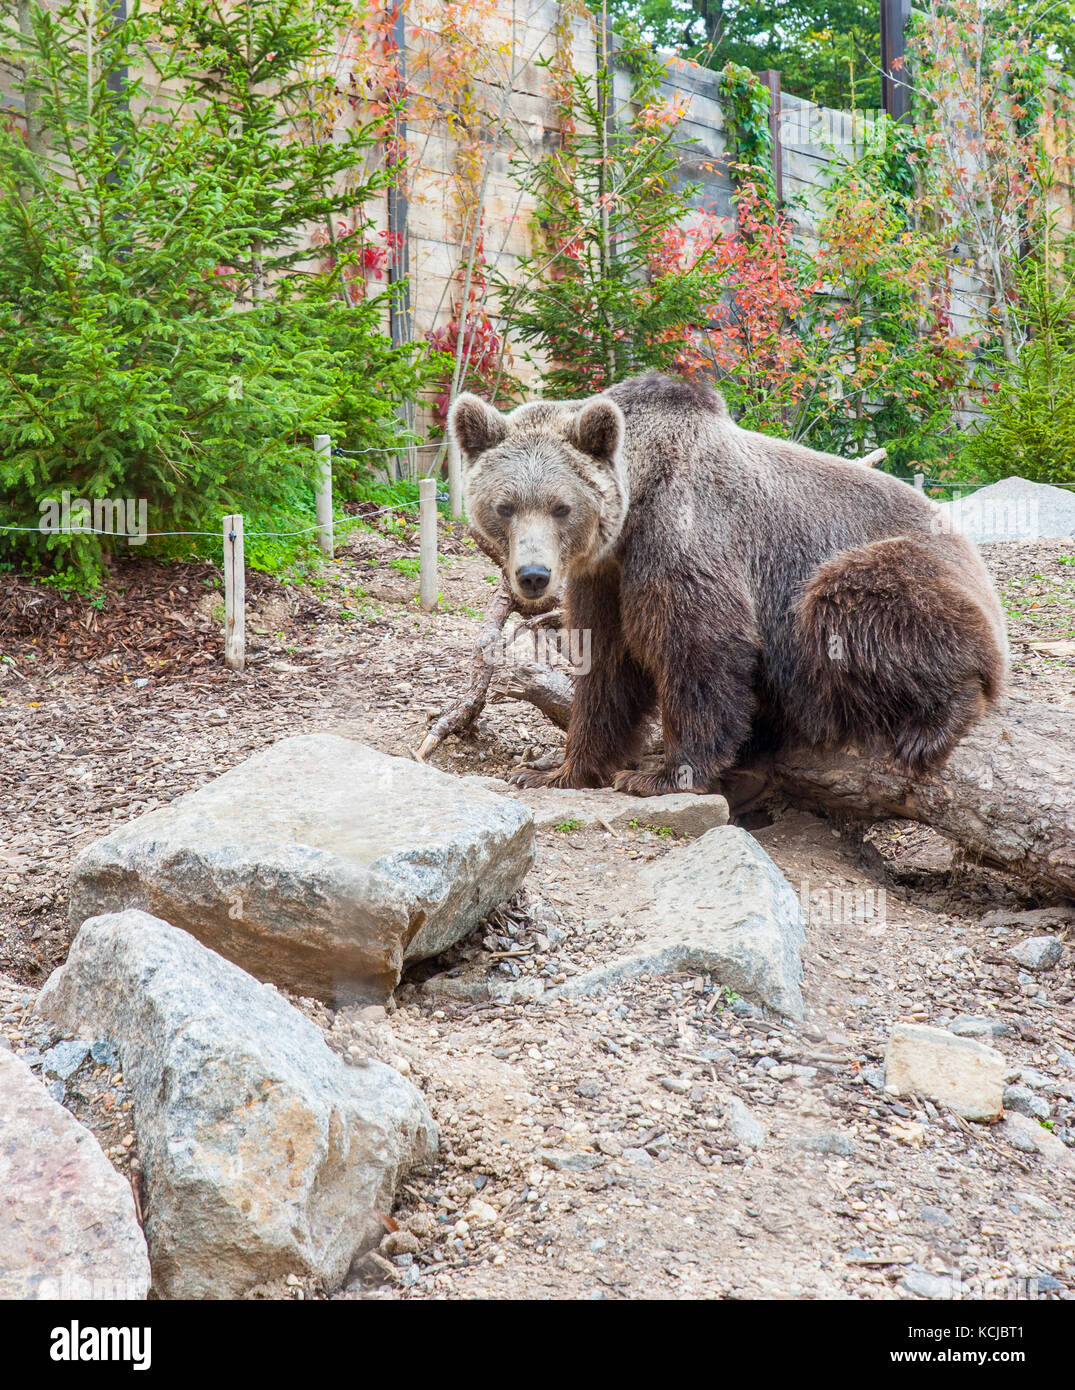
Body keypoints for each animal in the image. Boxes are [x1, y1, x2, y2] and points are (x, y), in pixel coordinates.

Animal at [448, 372, 1008, 796]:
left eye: (561, 506)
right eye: (506, 506)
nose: (534, 575)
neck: (636, 508)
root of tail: (971, 552)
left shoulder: (686, 539)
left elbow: (699, 646)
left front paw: (663, 773)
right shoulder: (604, 578)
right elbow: (606, 666)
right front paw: (556, 770)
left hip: (896, 565)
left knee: (852, 603)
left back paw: (934, 721)